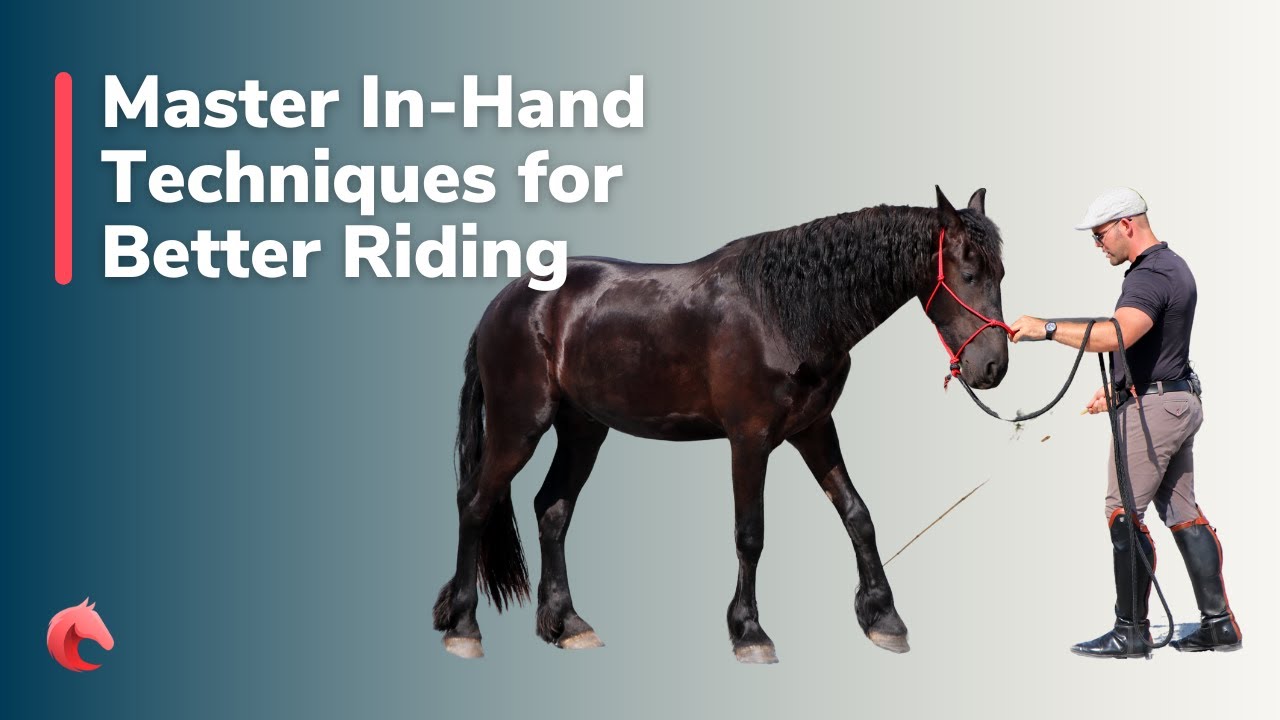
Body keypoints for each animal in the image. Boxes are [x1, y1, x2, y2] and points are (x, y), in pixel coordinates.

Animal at [432, 187, 1010, 663]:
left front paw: (884, 619)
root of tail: (504, 302)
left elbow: (857, 515)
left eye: (1000, 274)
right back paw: (463, 627)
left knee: (552, 509)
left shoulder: (814, 430)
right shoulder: (749, 440)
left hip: (583, 429)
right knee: (475, 503)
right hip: (519, 424)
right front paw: (750, 633)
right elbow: (750, 534)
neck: (783, 311)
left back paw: (568, 624)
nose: (993, 367)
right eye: (968, 274)